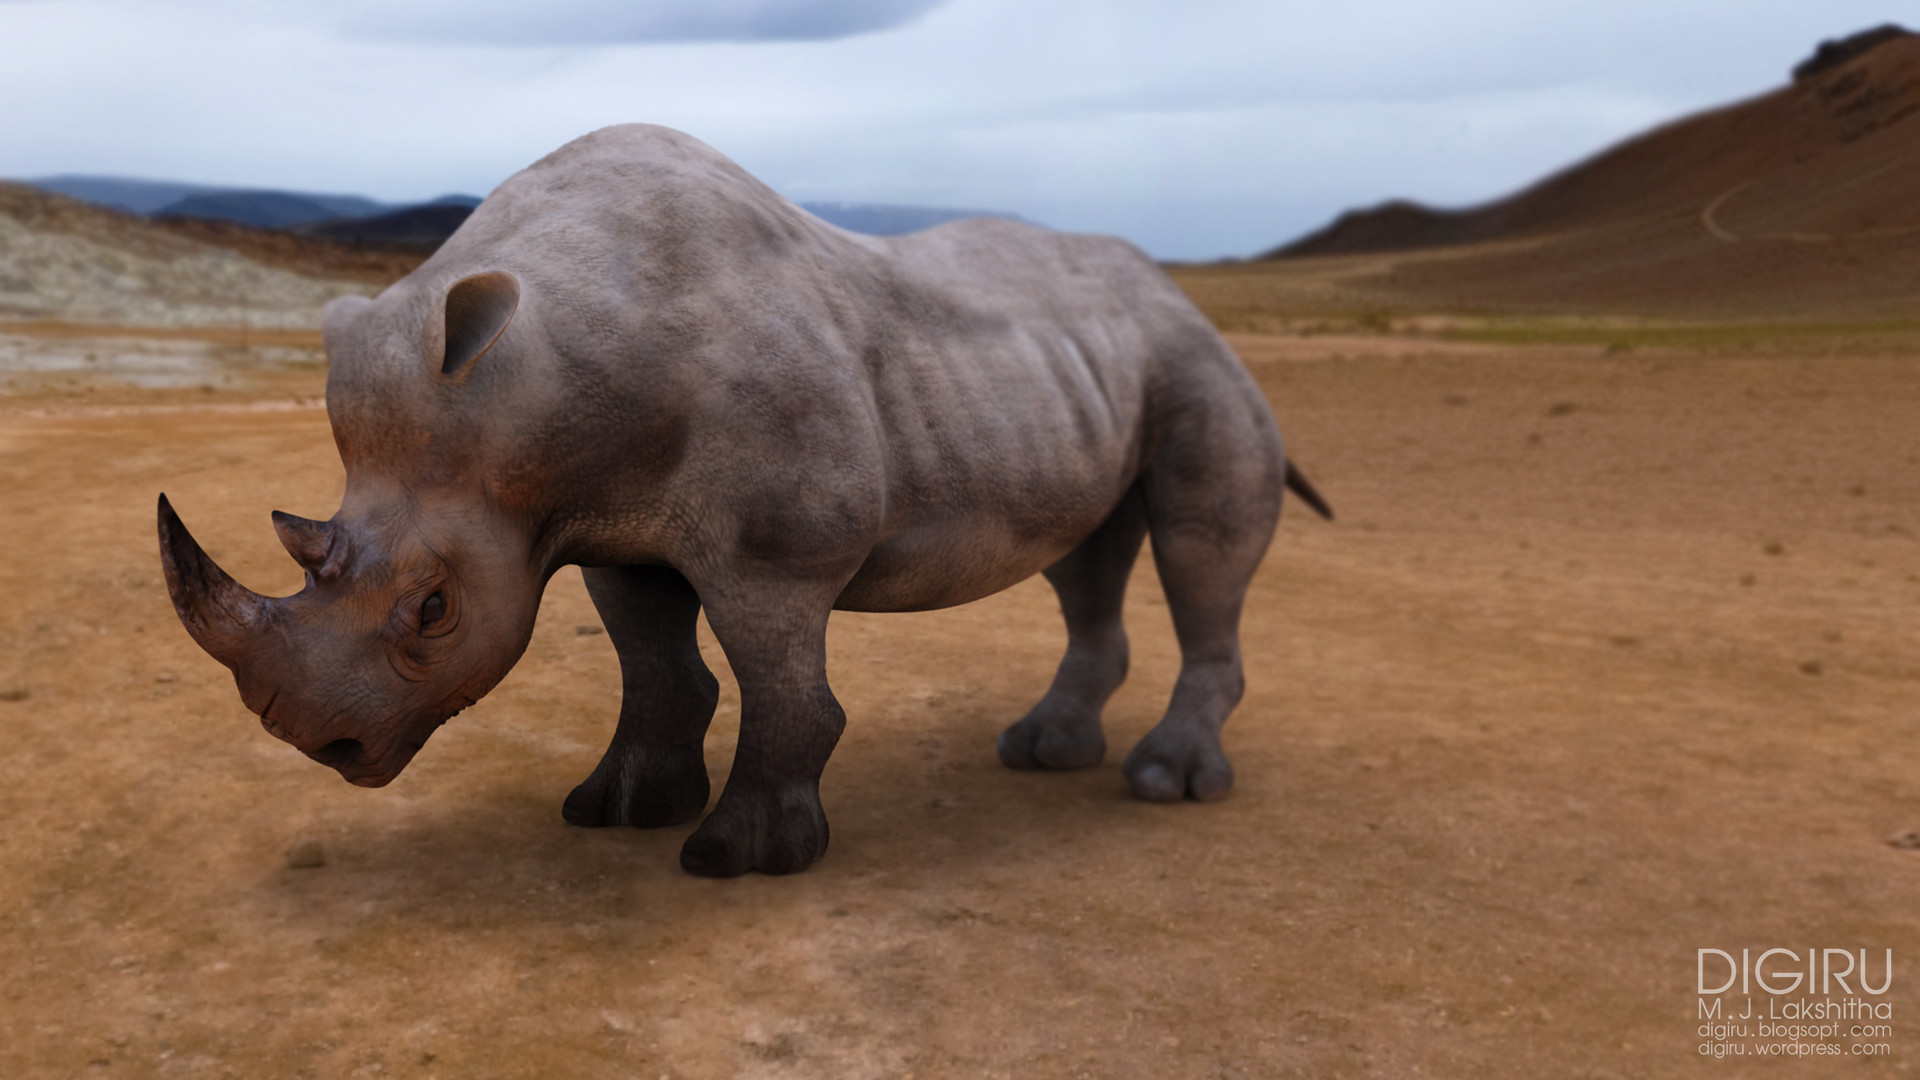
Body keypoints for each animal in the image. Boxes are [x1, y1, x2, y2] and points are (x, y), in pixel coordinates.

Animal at [157, 124, 1329, 877]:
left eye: (433, 610)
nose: (308, 738)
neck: (543, 379)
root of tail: (1177, 291)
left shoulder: (778, 551)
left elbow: (785, 689)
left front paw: (742, 857)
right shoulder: (607, 528)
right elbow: (654, 667)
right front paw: (615, 811)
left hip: (1194, 359)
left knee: (1198, 547)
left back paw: (1165, 782)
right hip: (1085, 370)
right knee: (1085, 556)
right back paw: (1043, 752)